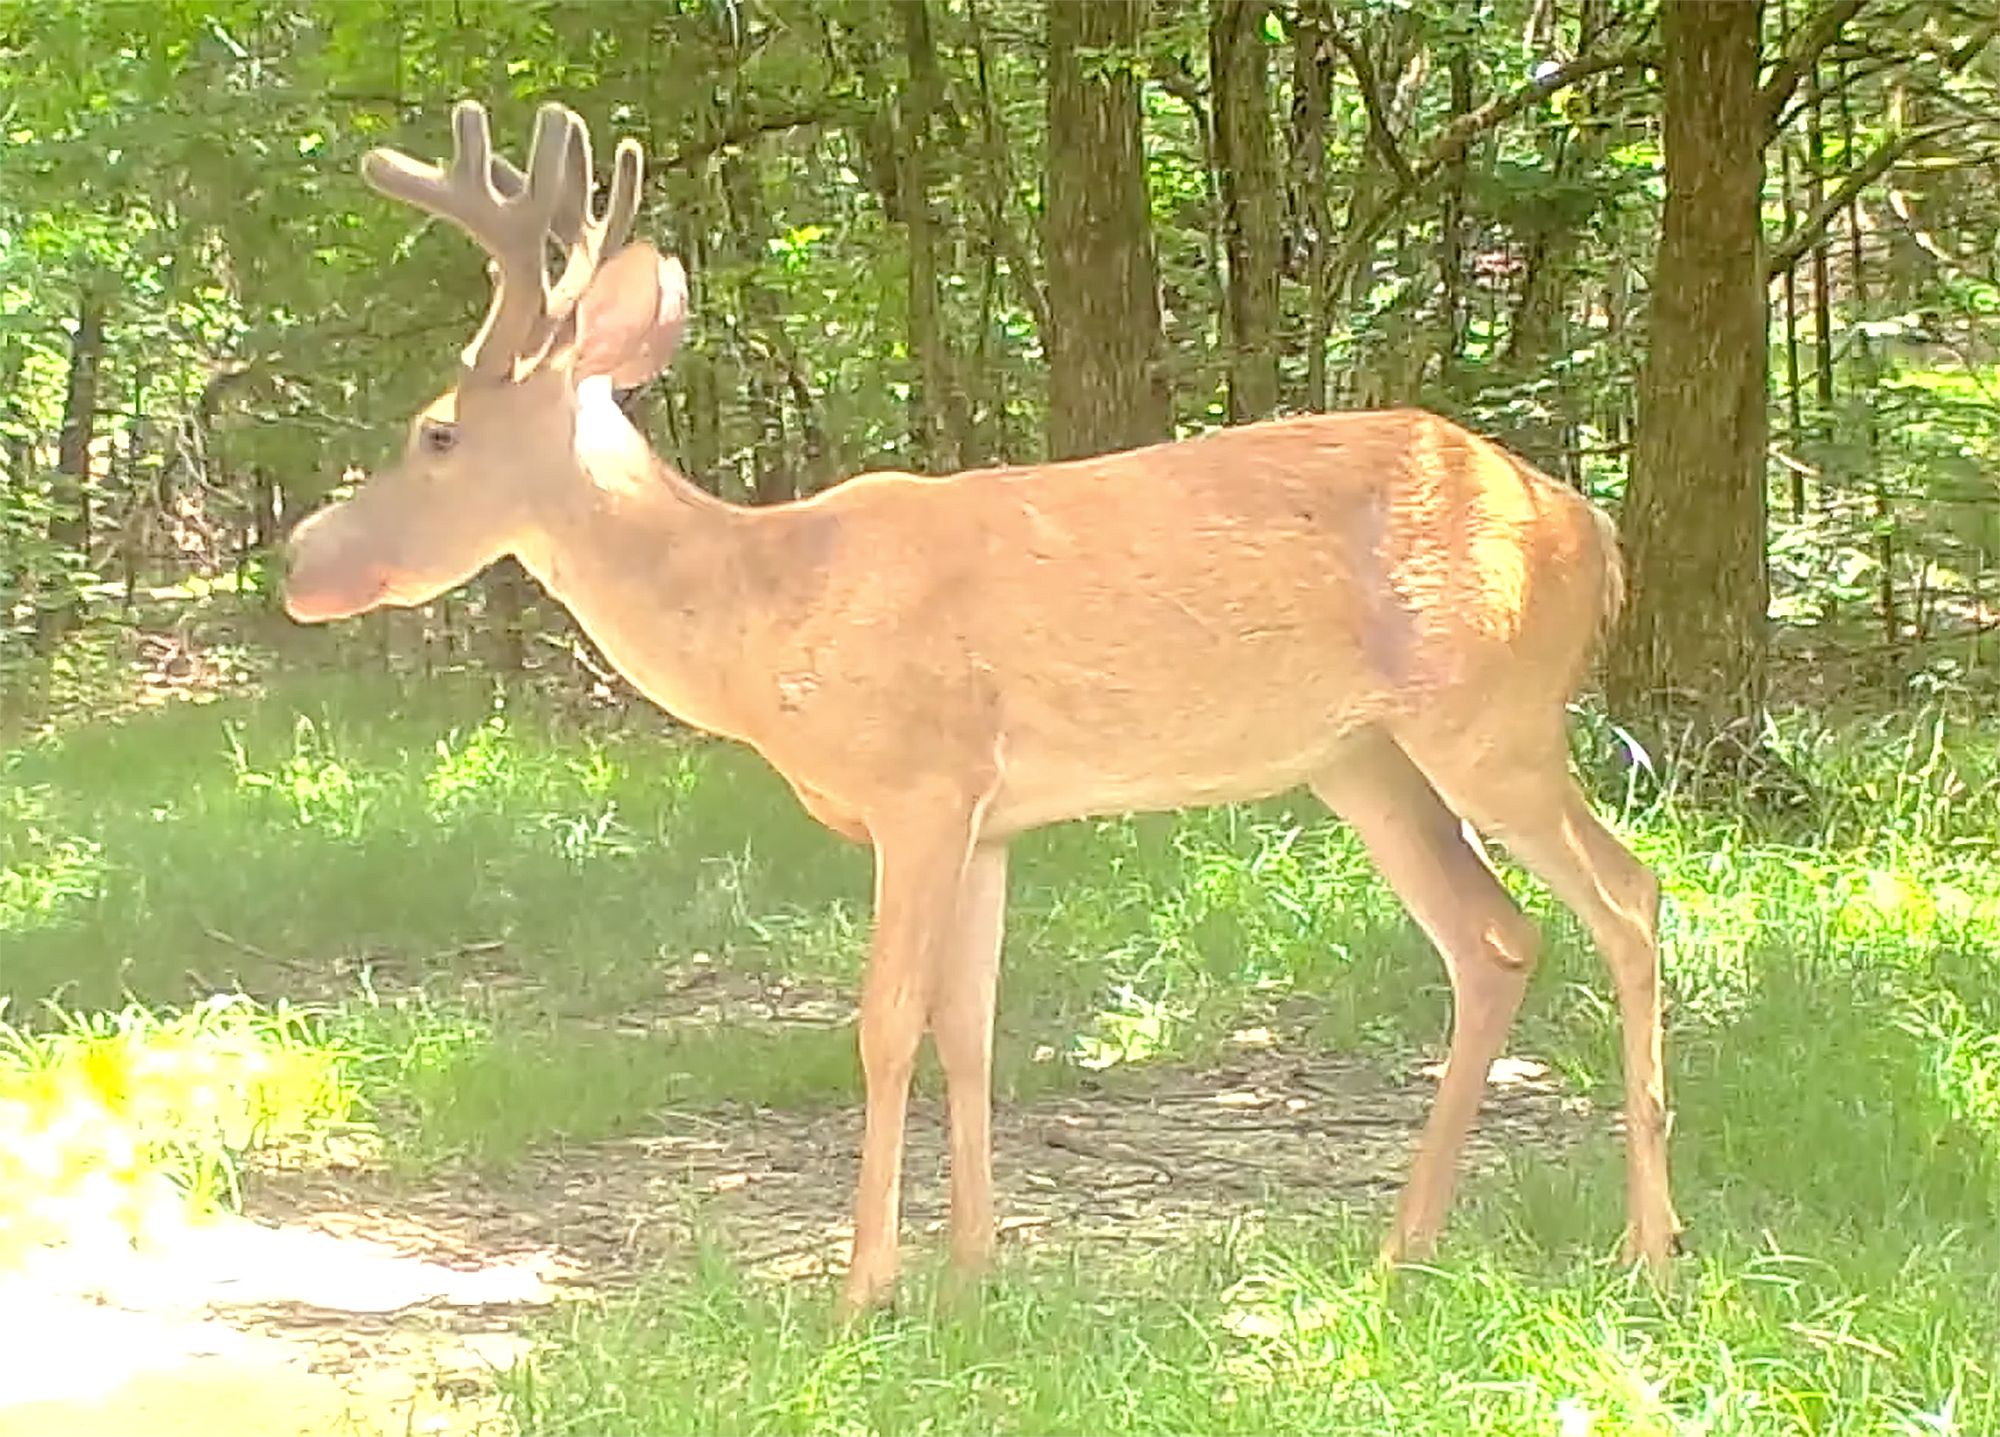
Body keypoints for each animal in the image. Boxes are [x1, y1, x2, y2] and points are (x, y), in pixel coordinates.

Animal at [283, 101, 1680, 1313]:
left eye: (436, 433)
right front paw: (970, 1276)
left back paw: (1648, 1245)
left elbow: (883, 1026)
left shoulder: (922, 781)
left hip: (1488, 716)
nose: (299, 560)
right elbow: (969, 1029)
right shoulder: (995, 817)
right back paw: (1407, 1247)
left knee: (1628, 894)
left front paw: (862, 1292)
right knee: (1492, 938)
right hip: (1362, 757)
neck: (766, 612)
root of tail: (1592, 529)